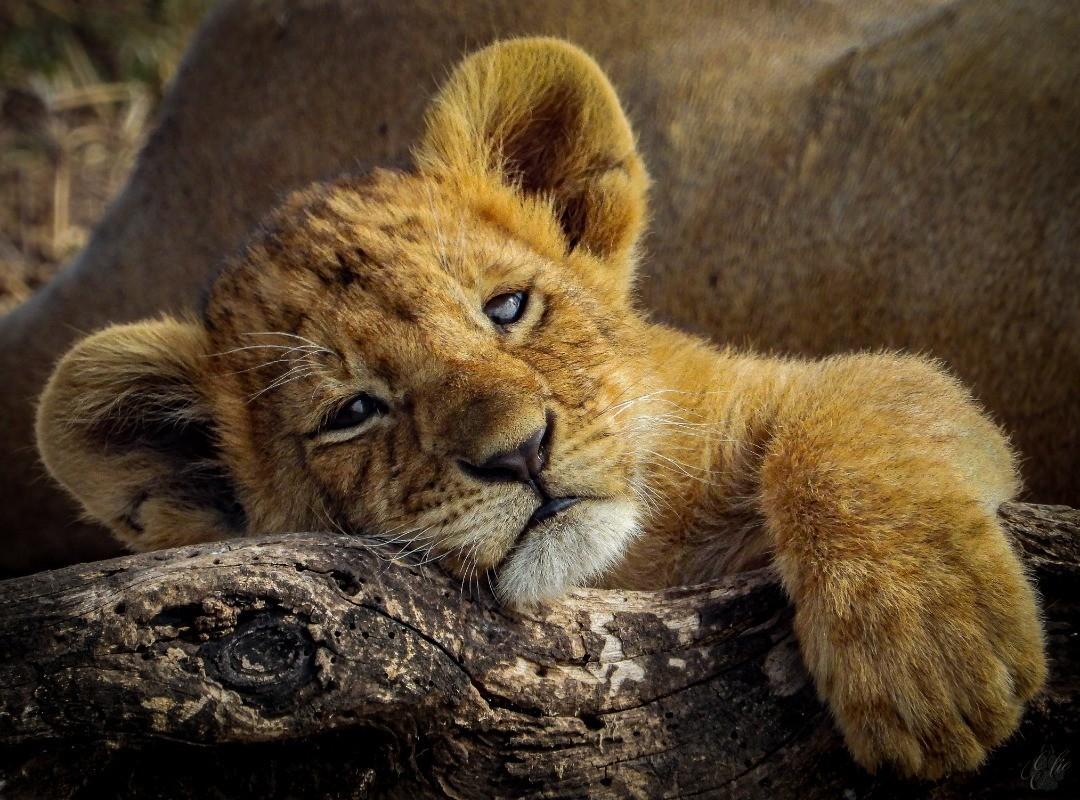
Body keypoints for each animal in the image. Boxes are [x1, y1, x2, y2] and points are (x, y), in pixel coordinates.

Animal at [34, 37, 1046, 780]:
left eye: (507, 308)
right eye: (353, 411)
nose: (519, 452)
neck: (631, 567)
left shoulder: (815, 389)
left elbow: (855, 426)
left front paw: (931, 655)